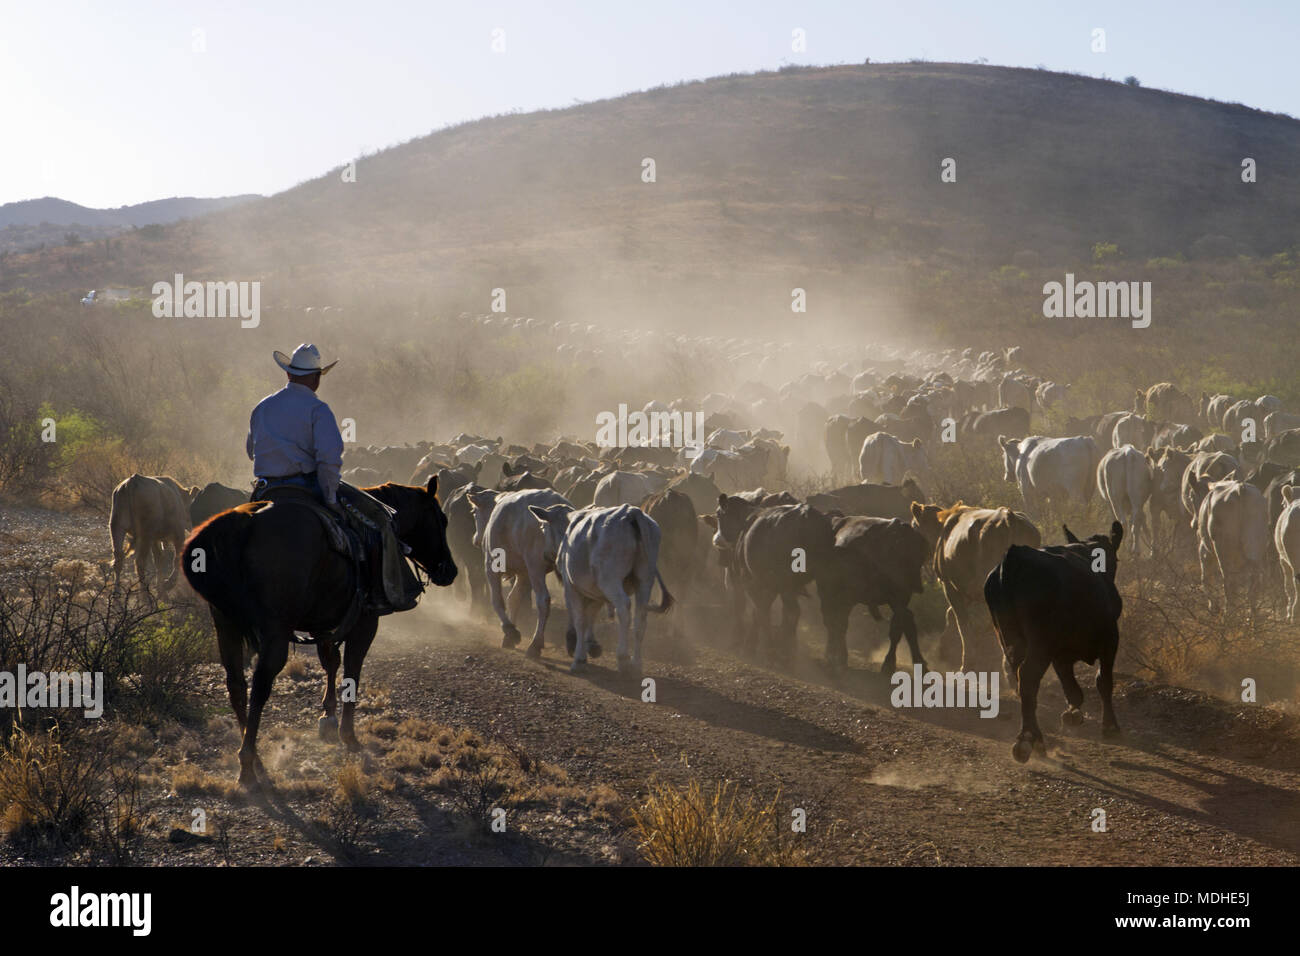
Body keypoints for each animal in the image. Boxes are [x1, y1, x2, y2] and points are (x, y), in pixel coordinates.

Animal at [530, 504, 673, 677]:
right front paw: (591, 645)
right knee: (640, 617)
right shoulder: (596, 592)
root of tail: (632, 513)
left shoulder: (571, 587)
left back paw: (623, 658)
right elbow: (591, 615)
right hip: (645, 580)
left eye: (543, 527)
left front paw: (579, 658)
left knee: (624, 608)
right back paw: (636, 664)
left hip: (610, 580)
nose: (544, 555)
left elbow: (580, 620)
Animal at [817, 517, 928, 673]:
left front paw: (836, 655)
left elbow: (835, 622)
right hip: (899, 597)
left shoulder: (832, 593)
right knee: (904, 622)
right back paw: (909, 663)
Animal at [910, 502, 1041, 668]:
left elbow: (962, 623)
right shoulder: (966, 590)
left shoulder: (950, 586)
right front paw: (943, 648)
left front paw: (965, 663)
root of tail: (1008, 516)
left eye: (912, 527)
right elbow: (951, 614)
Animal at [984, 521, 1124, 762]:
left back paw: (1037, 739)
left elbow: (1072, 688)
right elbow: (1103, 681)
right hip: (1041, 642)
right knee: (1028, 676)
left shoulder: (1060, 653)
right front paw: (1110, 726)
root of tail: (1015, 557)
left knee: (1022, 682)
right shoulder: (1110, 640)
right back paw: (1026, 739)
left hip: (1010, 639)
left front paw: (1073, 714)